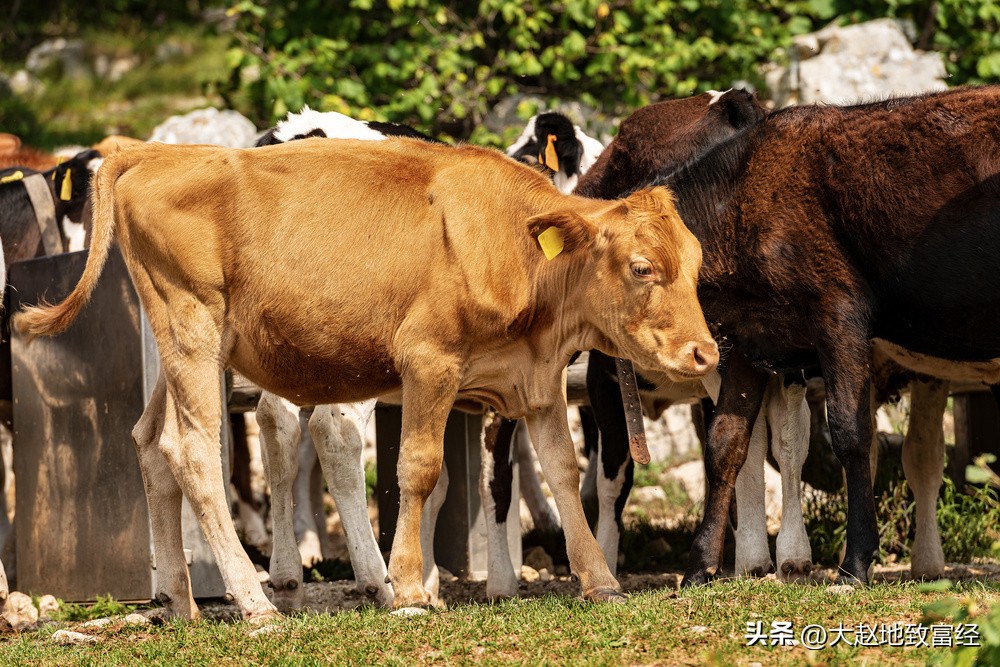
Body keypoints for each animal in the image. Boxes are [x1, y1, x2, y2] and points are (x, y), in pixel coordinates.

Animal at [15, 137, 718, 619]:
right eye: (640, 267)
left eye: (694, 263)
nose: (705, 353)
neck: (511, 243)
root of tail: (154, 152)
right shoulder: (428, 362)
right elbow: (418, 469)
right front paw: (407, 585)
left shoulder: (537, 384)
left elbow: (564, 474)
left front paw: (600, 579)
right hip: (192, 326)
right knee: (191, 453)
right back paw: (253, 603)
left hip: (190, 348)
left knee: (149, 443)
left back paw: (183, 604)